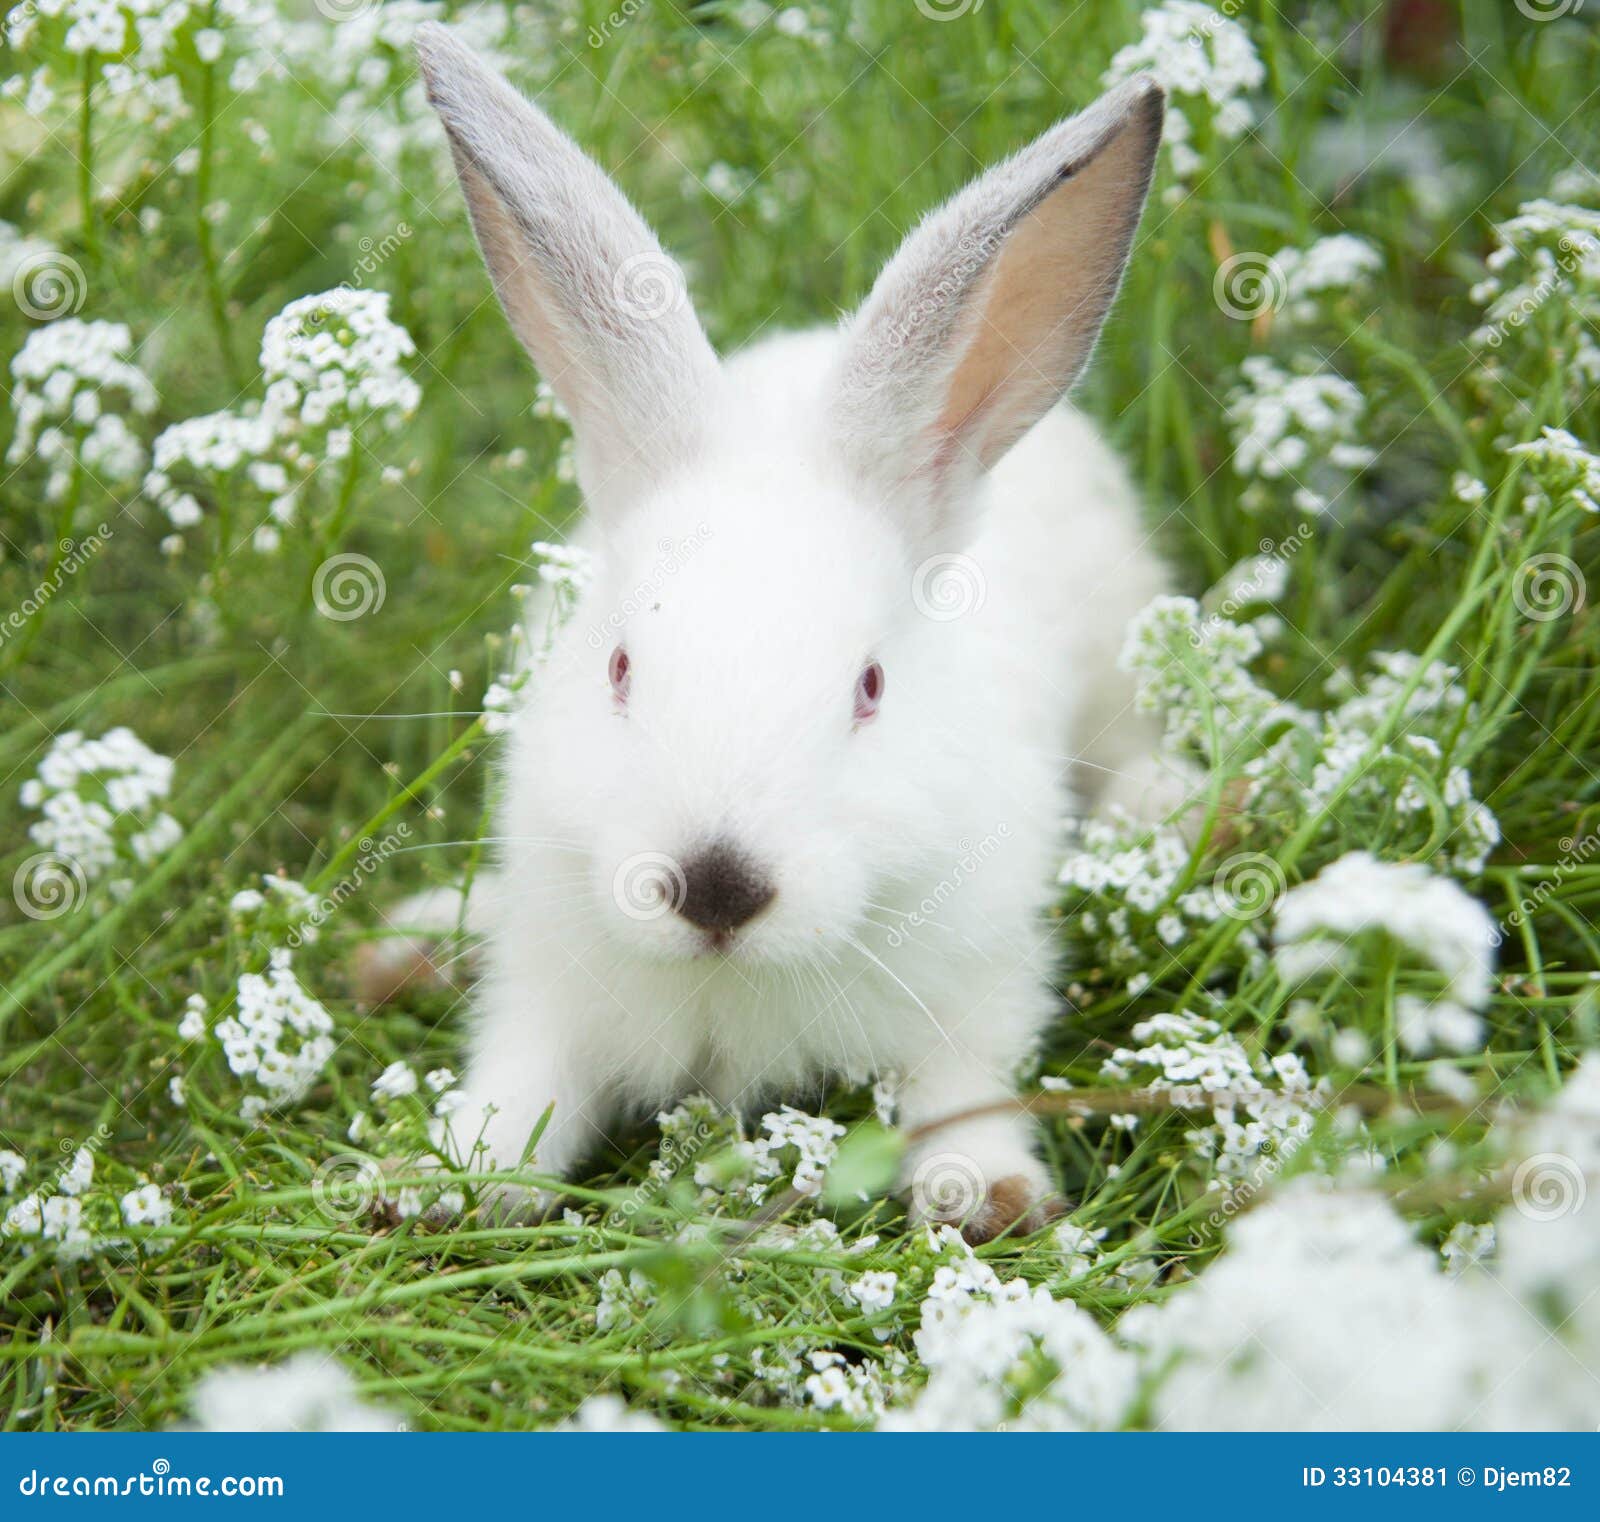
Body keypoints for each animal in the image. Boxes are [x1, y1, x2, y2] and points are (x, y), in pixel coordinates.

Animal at [401, 22, 1180, 1243]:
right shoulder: (547, 981)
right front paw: (447, 1176)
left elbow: (963, 1085)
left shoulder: (981, 978)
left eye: (870, 687)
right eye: (619, 667)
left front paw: (986, 1195)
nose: (716, 888)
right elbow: (525, 1082)